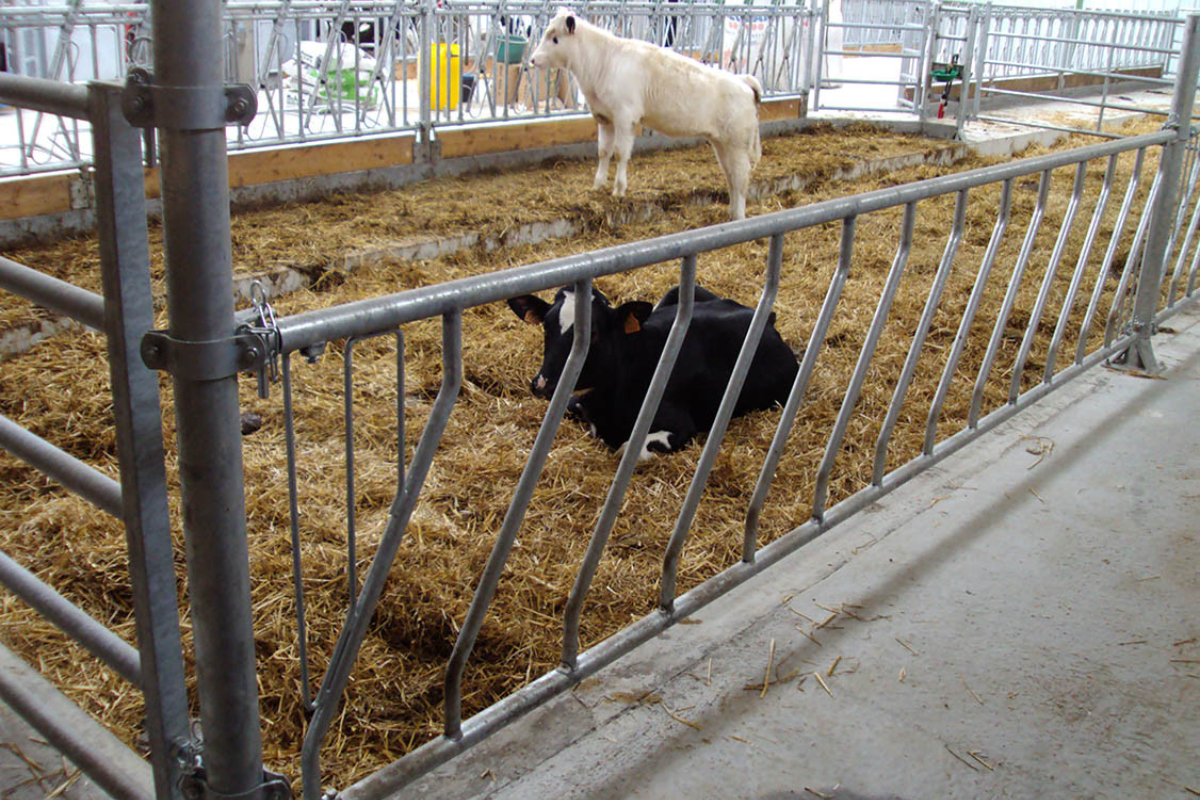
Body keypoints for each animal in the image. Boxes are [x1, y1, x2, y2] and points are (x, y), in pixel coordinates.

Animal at [507, 284, 799, 460]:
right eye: (546, 327)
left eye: (594, 334)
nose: (543, 384)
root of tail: (765, 317)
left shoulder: (681, 425)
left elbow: (626, 449)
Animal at [528, 8, 764, 220]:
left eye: (555, 39)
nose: (532, 59)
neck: (602, 62)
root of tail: (743, 81)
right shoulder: (604, 117)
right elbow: (603, 151)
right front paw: (598, 185)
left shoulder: (625, 116)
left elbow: (620, 153)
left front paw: (618, 190)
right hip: (722, 144)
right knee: (730, 177)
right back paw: (731, 215)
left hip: (737, 145)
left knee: (741, 179)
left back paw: (739, 219)